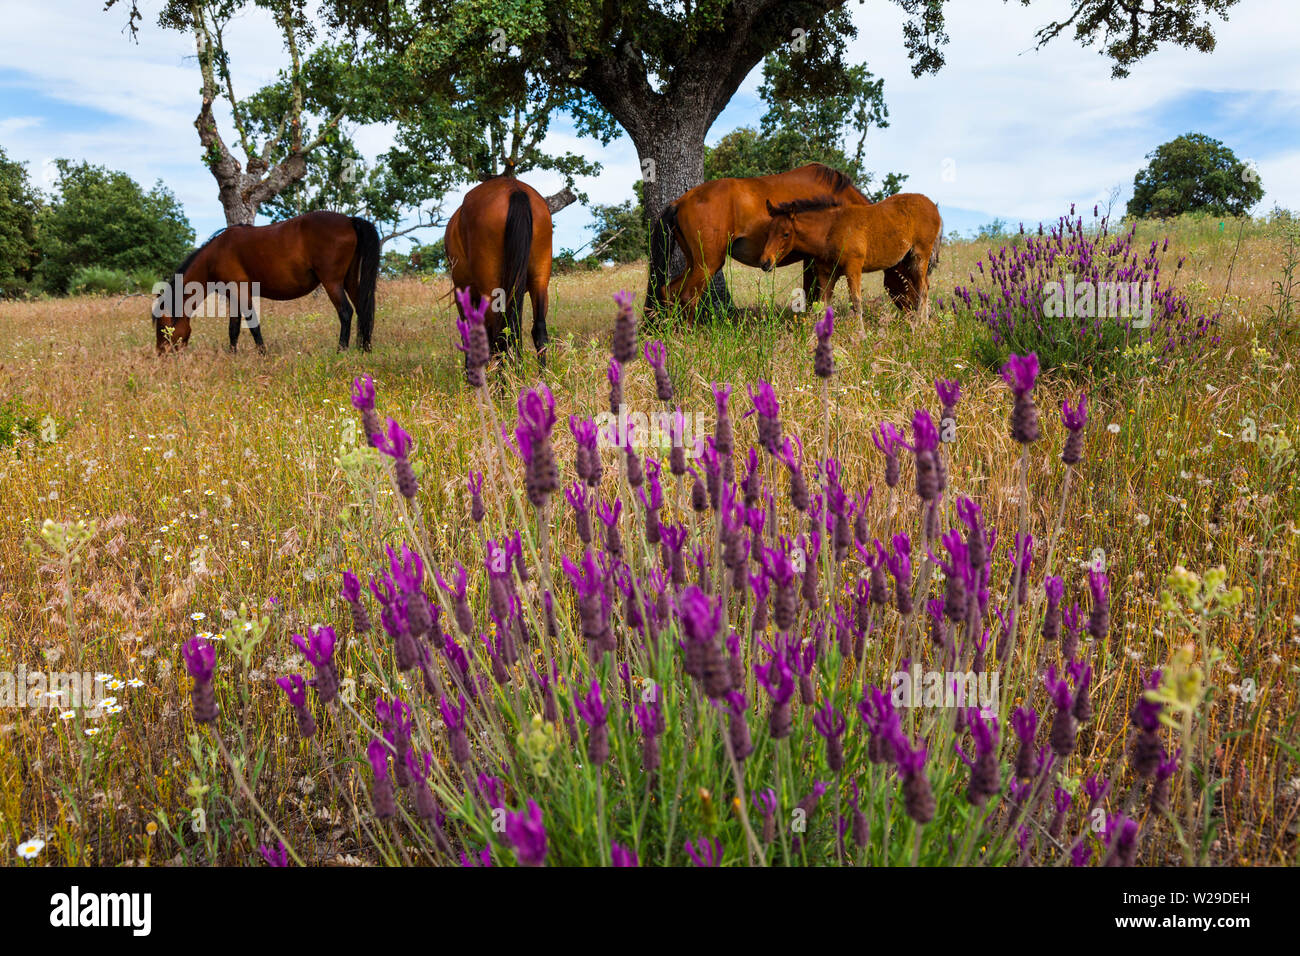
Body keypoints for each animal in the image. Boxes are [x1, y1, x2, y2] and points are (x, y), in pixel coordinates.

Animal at [152, 210, 380, 354]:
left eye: (162, 330)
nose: (161, 356)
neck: (215, 254)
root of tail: (349, 220)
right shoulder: (233, 296)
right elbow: (233, 328)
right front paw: (232, 355)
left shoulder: (241, 292)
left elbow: (252, 324)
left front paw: (263, 354)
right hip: (349, 281)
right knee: (363, 310)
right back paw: (365, 349)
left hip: (332, 282)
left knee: (346, 312)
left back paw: (341, 350)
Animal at [445, 176, 552, 364]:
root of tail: (514, 189)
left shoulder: (462, 293)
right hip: (539, 282)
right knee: (536, 330)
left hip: (491, 290)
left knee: (498, 335)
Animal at [646, 163, 874, 316]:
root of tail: (680, 201)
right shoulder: (814, 260)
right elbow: (812, 296)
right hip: (707, 264)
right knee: (687, 297)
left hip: (694, 263)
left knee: (668, 291)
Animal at [758, 192, 943, 323]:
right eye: (767, 232)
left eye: (786, 234)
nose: (765, 262)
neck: (830, 229)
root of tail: (934, 207)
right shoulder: (826, 273)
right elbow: (823, 304)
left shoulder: (853, 268)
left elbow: (856, 302)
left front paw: (861, 336)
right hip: (908, 261)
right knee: (924, 287)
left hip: (920, 256)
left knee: (922, 290)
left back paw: (920, 327)